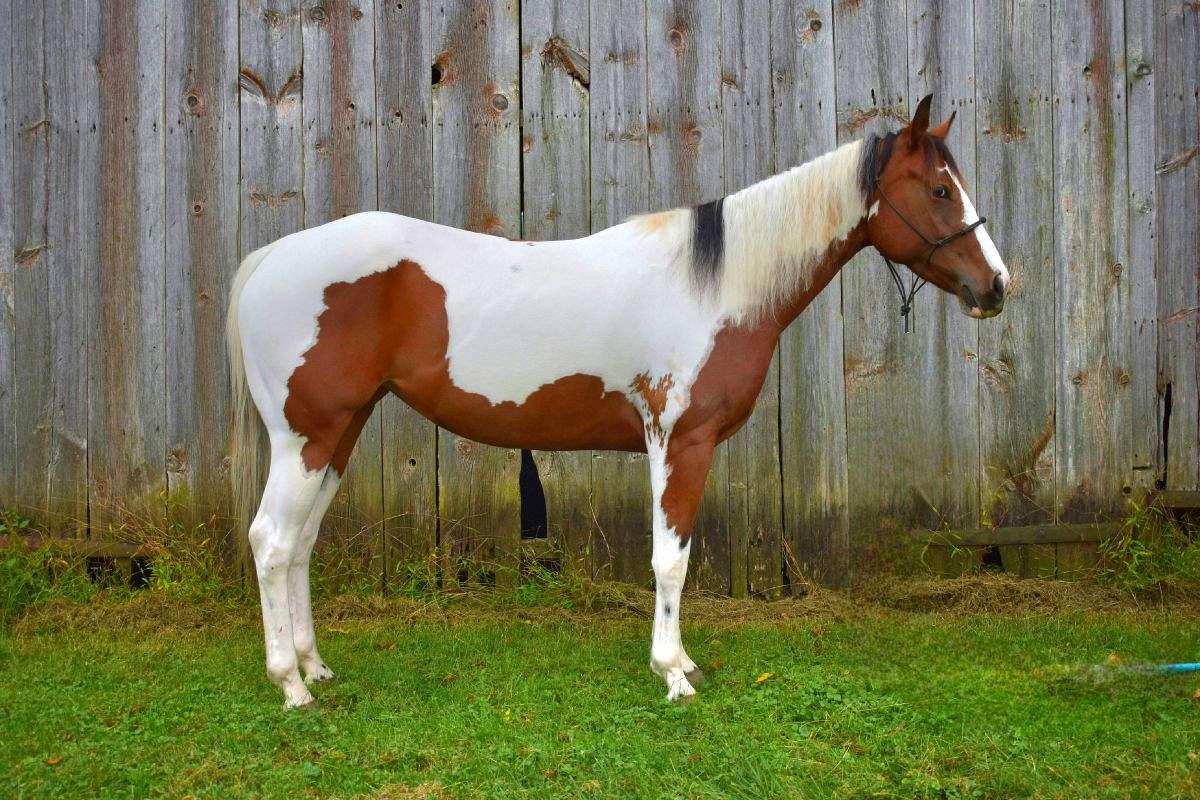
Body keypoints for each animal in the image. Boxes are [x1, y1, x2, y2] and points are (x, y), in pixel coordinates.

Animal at [227, 95, 1008, 708]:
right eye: (940, 190)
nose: (996, 286)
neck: (713, 288)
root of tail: (271, 260)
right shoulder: (678, 443)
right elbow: (671, 560)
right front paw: (673, 674)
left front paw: (683, 662)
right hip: (305, 438)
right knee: (272, 542)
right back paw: (290, 684)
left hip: (339, 434)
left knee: (301, 544)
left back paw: (315, 668)